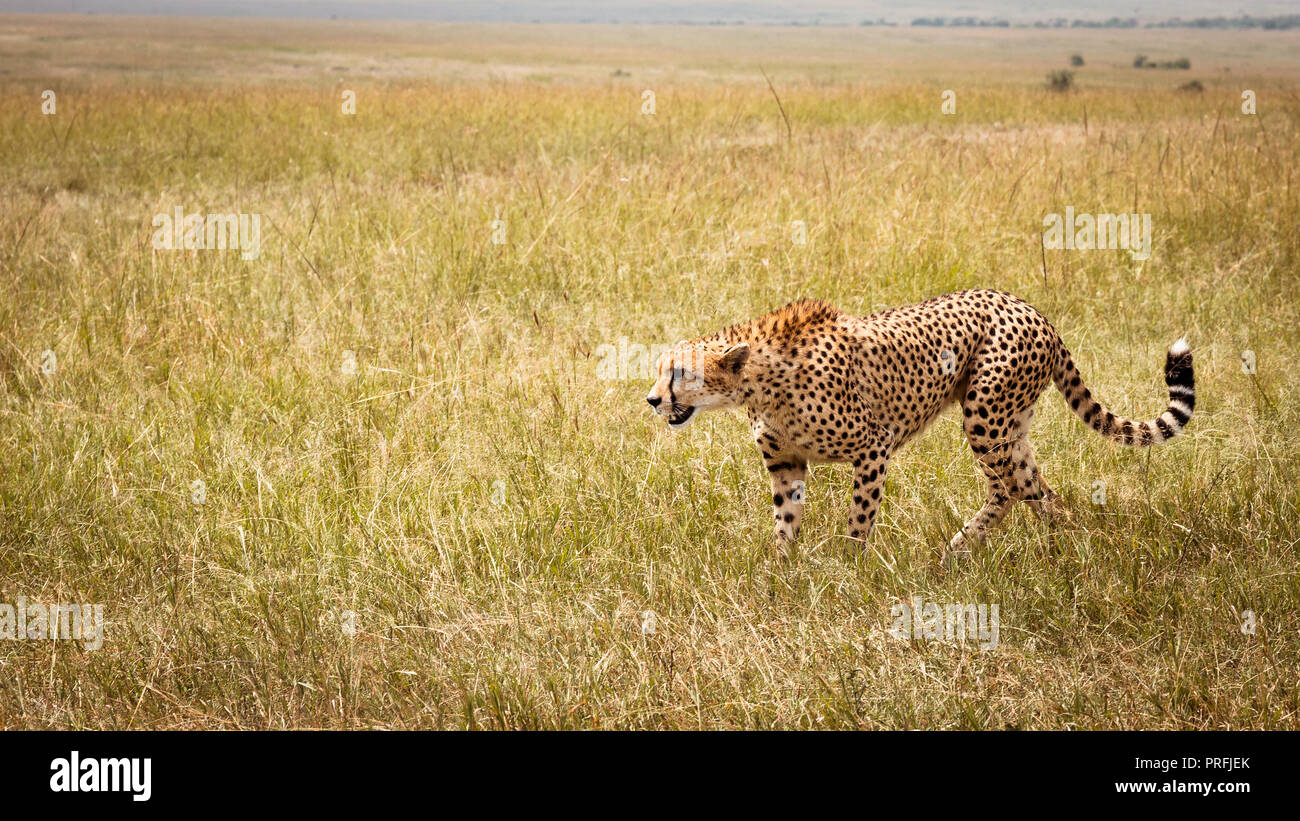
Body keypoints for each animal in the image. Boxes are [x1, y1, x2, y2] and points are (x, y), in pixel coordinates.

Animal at [645, 289, 1194, 553]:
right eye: (659, 370)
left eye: (679, 373)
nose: (651, 400)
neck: (758, 381)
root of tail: (1031, 309)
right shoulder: (787, 464)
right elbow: (785, 522)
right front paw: (780, 572)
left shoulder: (873, 445)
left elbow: (860, 518)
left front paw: (850, 567)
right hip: (1008, 425)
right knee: (1032, 487)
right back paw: (1043, 545)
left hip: (985, 416)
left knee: (1013, 487)